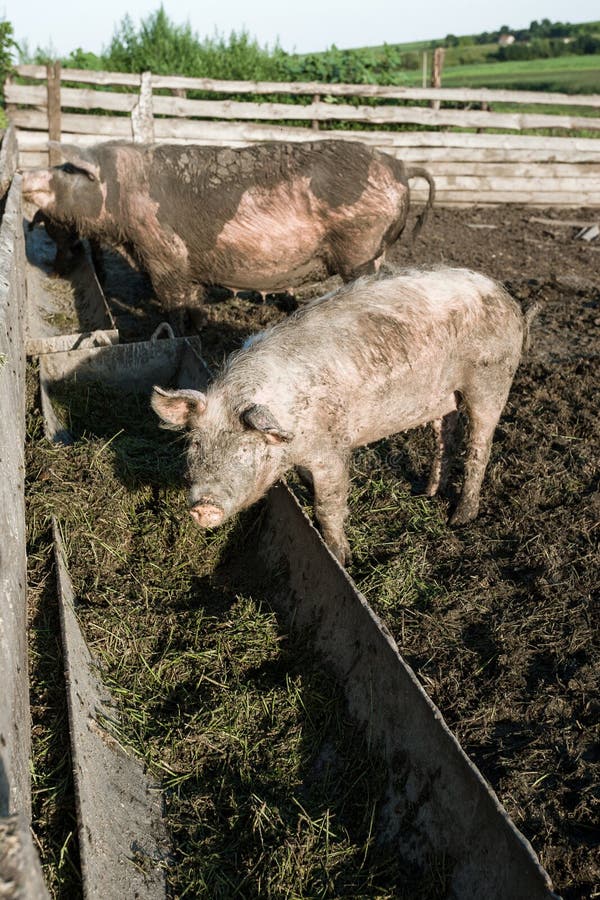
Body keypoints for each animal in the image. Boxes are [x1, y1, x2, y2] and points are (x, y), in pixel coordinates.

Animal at [21, 140, 434, 319]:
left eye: (69, 170)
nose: (25, 174)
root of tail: (399, 165)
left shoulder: (164, 256)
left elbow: (174, 306)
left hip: (360, 247)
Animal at [151, 266, 537, 564]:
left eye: (245, 449)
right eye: (196, 445)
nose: (203, 507)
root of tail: (508, 299)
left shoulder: (332, 449)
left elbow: (330, 503)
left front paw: (340, 557)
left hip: (491, 381)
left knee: (480, 448)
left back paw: (459, 519)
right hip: (445, 397)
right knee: (445, 437)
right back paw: (426, 494)